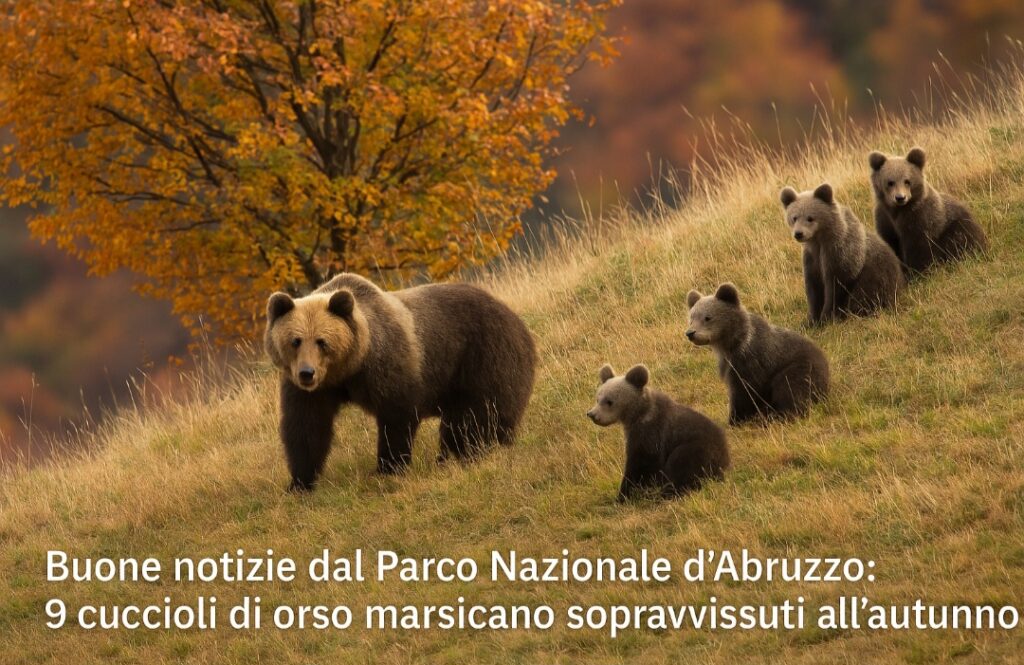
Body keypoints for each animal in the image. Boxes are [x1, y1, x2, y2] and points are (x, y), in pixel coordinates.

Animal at [264, 273, 537, 491]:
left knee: (475, 417)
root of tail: (514, 317)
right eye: (295, 341)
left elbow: (396, 415)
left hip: (483, 357)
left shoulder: (388, 363)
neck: (349, 368)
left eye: (322, 341)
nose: (307, 373)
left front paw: (388, 467)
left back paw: (466, 453)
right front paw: (299, 482)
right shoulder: (312, 390)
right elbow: (306, 427)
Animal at [586, 364, 729, 502]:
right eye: (597, 398)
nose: (592, 414)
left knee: (681, 466)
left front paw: (624, 495)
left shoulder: (650, 434)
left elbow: (640, 465)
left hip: (698, 450)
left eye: (609, 401)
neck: (638, 414)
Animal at [685, 283, 829, 424]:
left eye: (707, 317)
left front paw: (735, 420)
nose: (690, 333)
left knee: (792, 390)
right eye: (691, 318)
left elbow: (745, 393)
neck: (732, 345)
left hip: (800, 368)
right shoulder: (728, 364)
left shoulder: (750, 362)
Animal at [780, 182, 905, 324]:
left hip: (879, 280)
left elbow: (836, 286)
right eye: (794, 217)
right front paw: (811, 320)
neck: (819, 241)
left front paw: (827, 317)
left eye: (810, 218)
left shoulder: (839, 254)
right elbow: (813, 289)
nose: (798, 233)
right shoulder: (811, 258)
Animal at [869, 147, 988, 275]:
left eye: (907, 181)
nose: (900, 197)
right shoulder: (885, 219)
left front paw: (918, 272)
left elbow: (919, 248)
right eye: (890, 182)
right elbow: (891, 243)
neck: (898, 211)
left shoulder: (920, 218)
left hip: (959, 228)